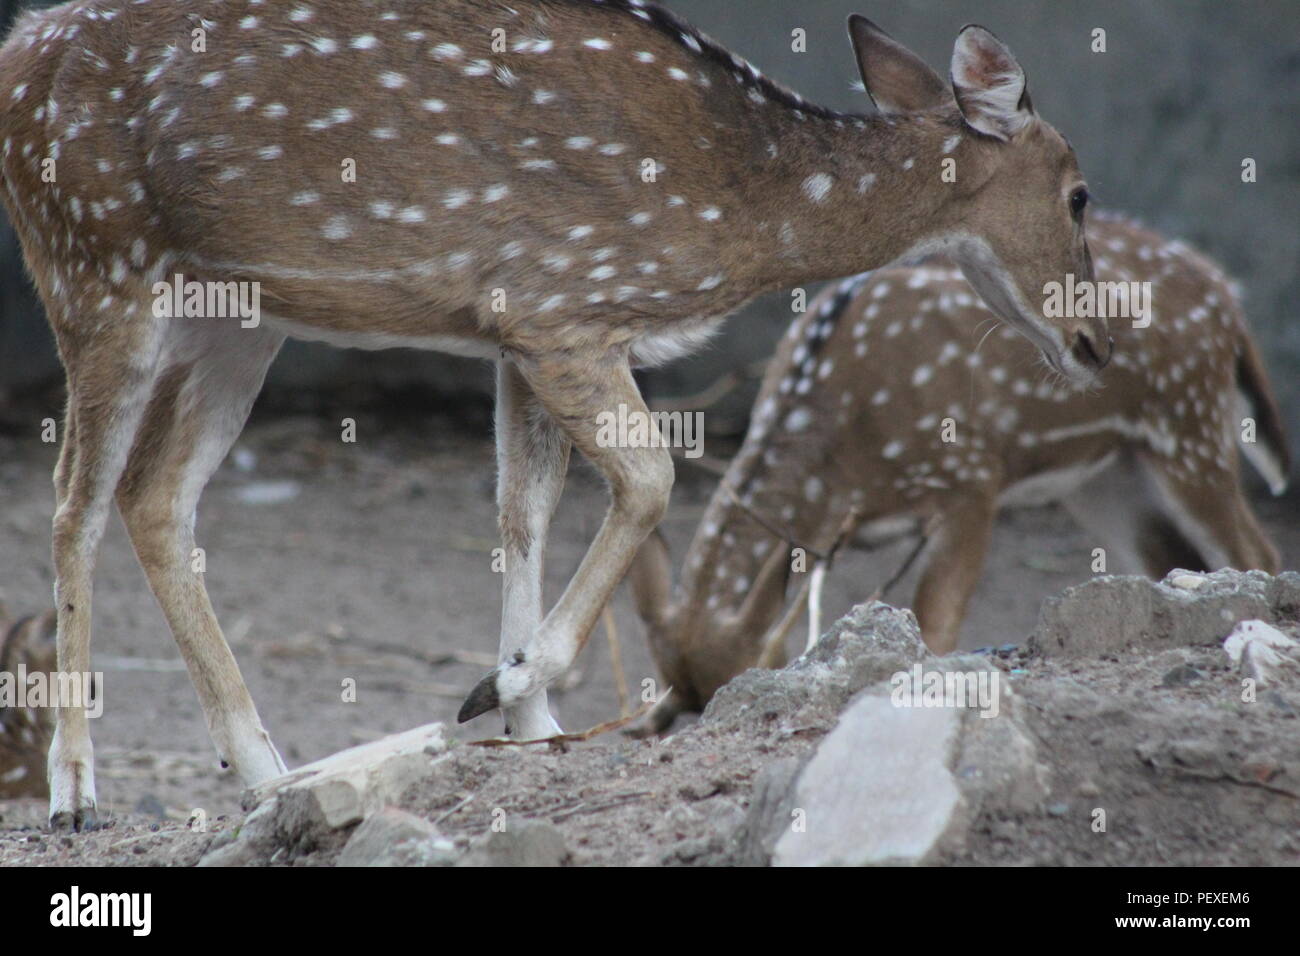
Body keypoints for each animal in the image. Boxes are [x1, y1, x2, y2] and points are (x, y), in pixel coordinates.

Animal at [0, 0, 1105, 830]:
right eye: (1080, 194)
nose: (1095, 346)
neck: (740, 207)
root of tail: (18, 52)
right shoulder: (562, 306)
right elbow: (651, 480)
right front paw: (501, 688)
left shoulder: (520, 330)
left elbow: (520, 511)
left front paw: (529, 722)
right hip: (97, 265)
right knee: (73, 502)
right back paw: (76, 790)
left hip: (238, 315)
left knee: (154, 495)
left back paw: (270, 773)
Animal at [627, 212, 1291, 735]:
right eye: (686, 706)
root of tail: (1227, 296)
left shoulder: (972, 476)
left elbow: (935, 620)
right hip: (1105, 474)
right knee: (1169, 559)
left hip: (1189, 423)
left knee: (1253, 547)